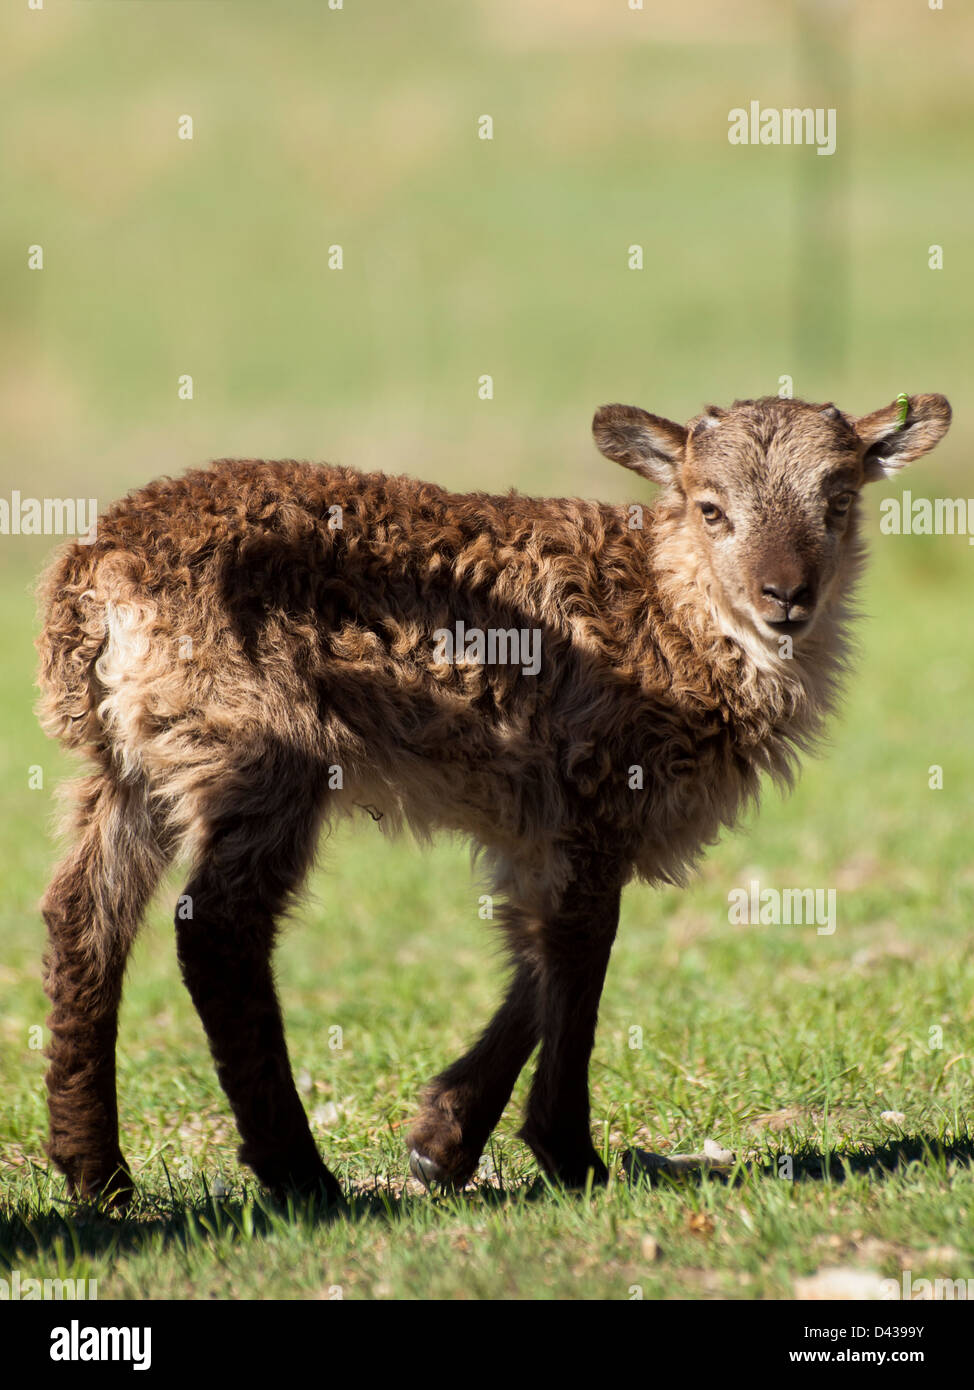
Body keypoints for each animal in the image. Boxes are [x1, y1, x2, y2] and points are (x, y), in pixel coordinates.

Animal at [35, 392, 951, 1205]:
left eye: (838, 500)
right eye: (711, 509)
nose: (785, 597)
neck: (668, 615)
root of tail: (98, 574)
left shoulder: (542, 826)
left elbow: (536, 959)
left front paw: (442, 1144)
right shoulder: (595, 794)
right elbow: (578, 961)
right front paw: (570, 1156)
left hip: (138, 756)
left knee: (85, 915)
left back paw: (97, 1172)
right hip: (256, 744)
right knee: (219, 933)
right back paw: (299, 1175)